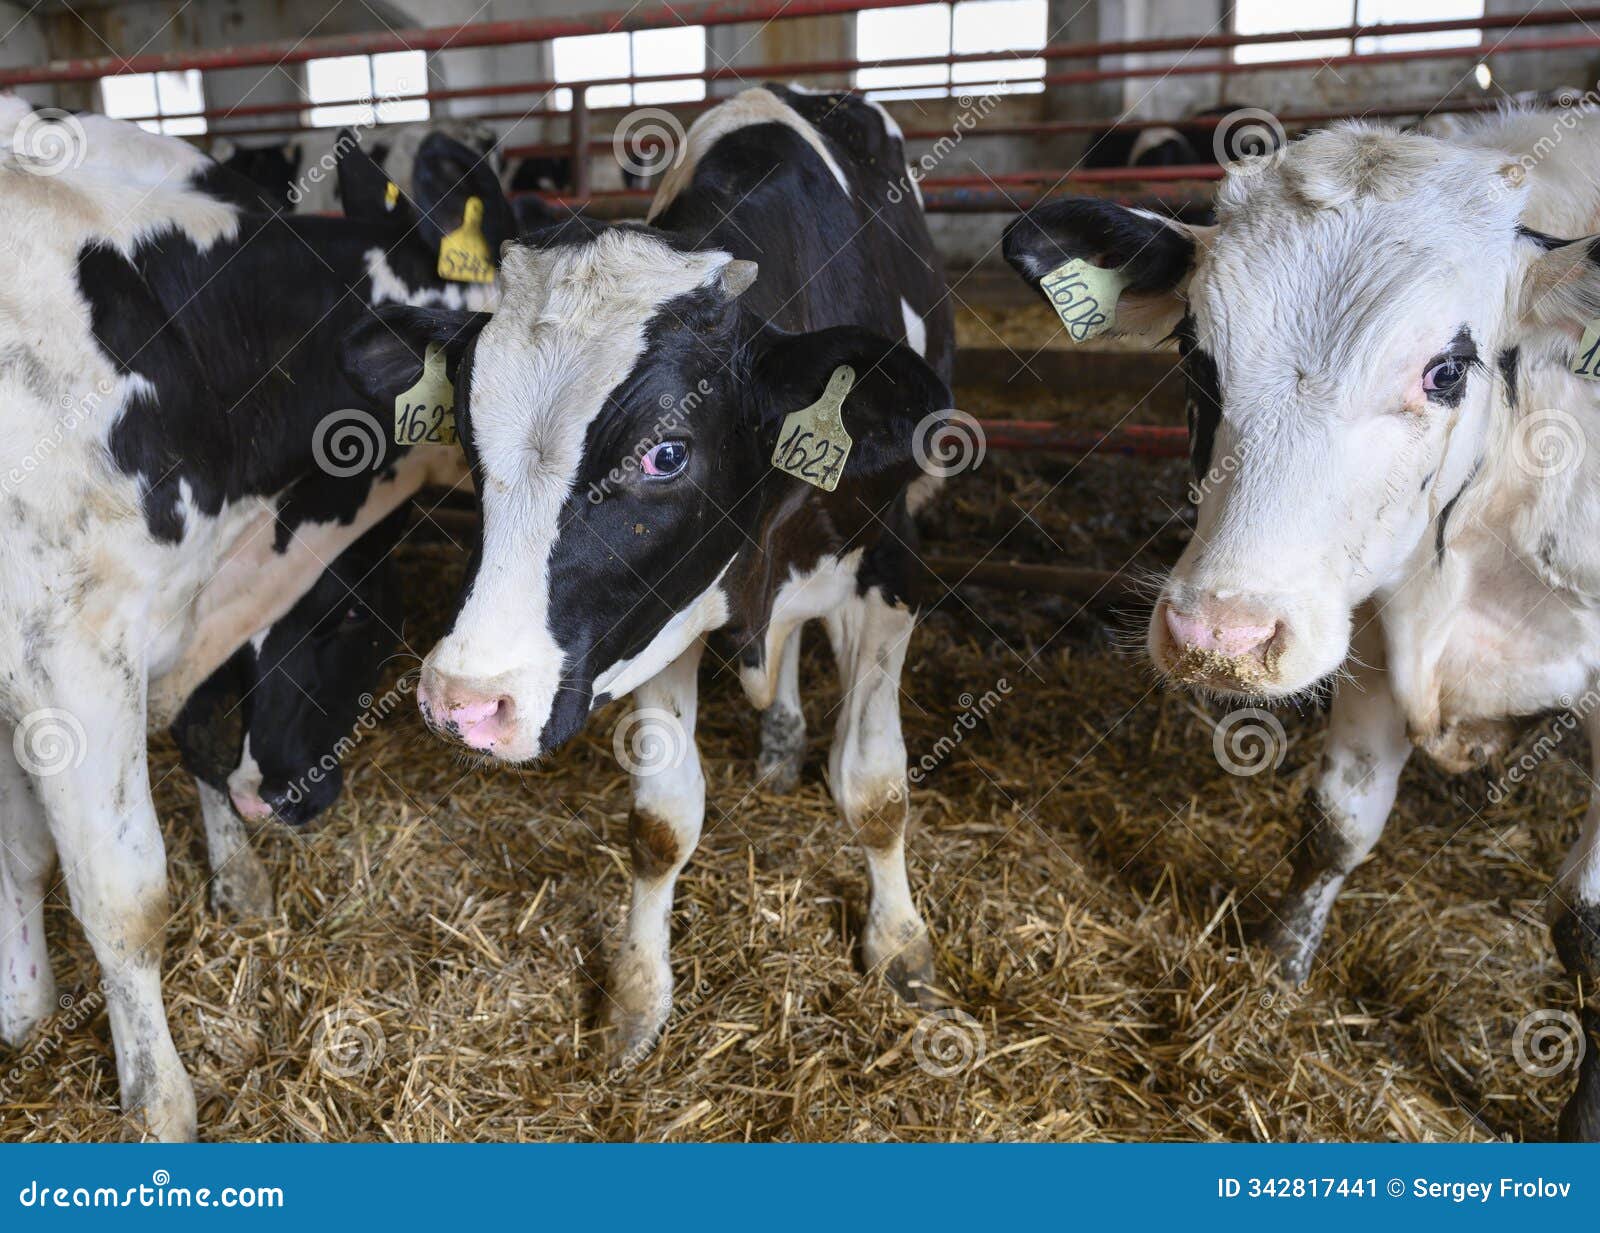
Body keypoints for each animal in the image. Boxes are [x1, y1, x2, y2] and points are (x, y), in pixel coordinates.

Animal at [0, 108, 508, 1138]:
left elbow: (28, 848)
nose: (288, 797)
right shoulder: (67, 656)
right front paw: (157, 1103)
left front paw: (25, 1004)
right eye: (351, 613)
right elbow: (122, 894)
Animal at [341, 83, 957, 1065]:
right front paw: (637, 993)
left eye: (665, 453)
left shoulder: (889, 569)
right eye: (468, 439)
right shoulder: (651, 617)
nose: (464, 702)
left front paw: (900, 946)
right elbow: (663, 820)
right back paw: (779, 737)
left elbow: (874, 785)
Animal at [1003, 107, 1600, 1139]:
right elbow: (1336, 823)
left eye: (1448, 370)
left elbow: (1585, 927)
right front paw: (1275, 981)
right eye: (1195, 355)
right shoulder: (1368, 630)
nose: (1219, 637)